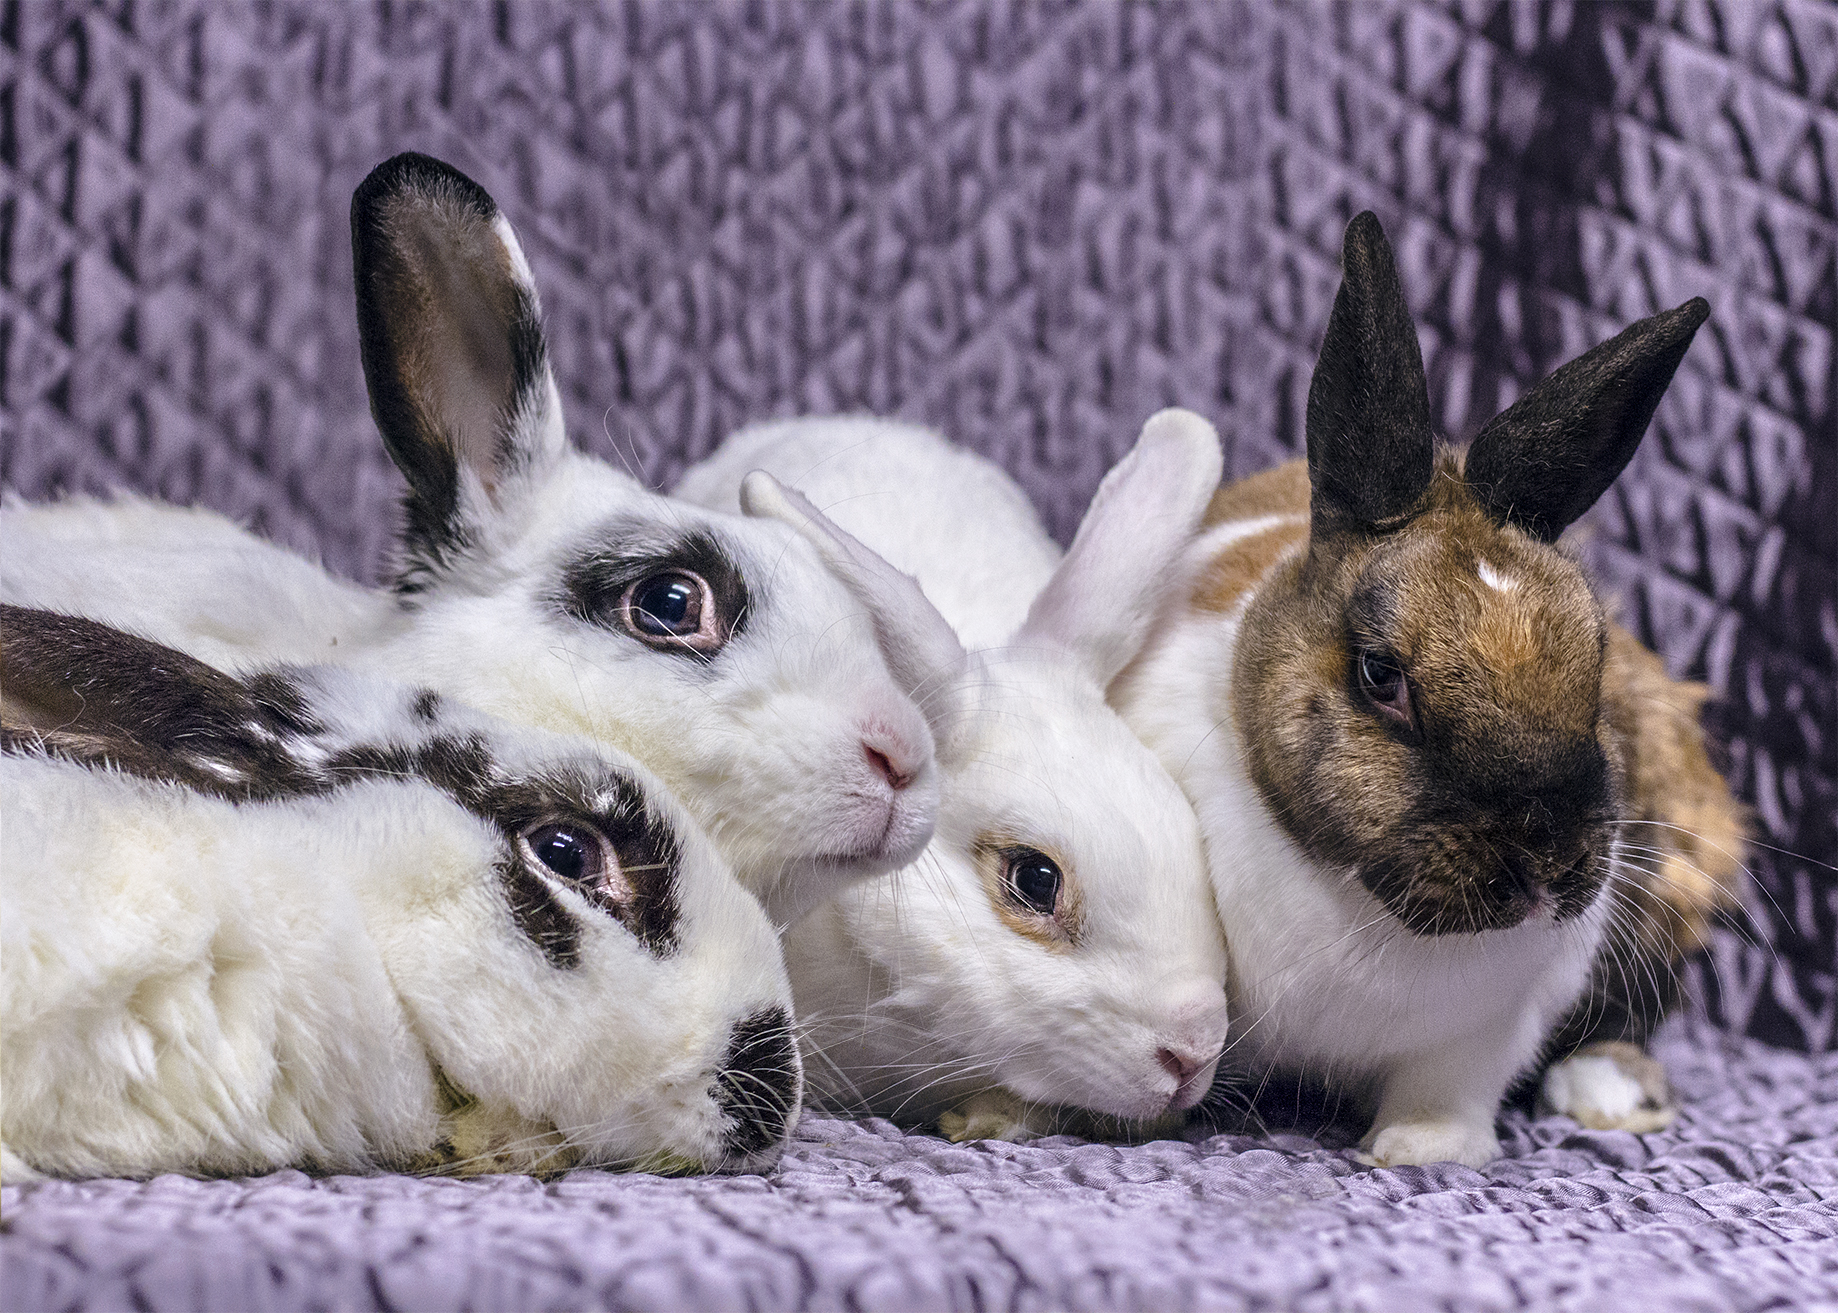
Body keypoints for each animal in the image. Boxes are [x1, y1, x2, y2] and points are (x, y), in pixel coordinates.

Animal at [1109, 212, 1746, 1168]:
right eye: (1382, 676)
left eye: (1595, 666)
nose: (1548, 858)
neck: (1368, 901)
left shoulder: (1492, 1030)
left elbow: (1449, 1087)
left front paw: (1418, 1150)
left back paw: (1613, 1094)